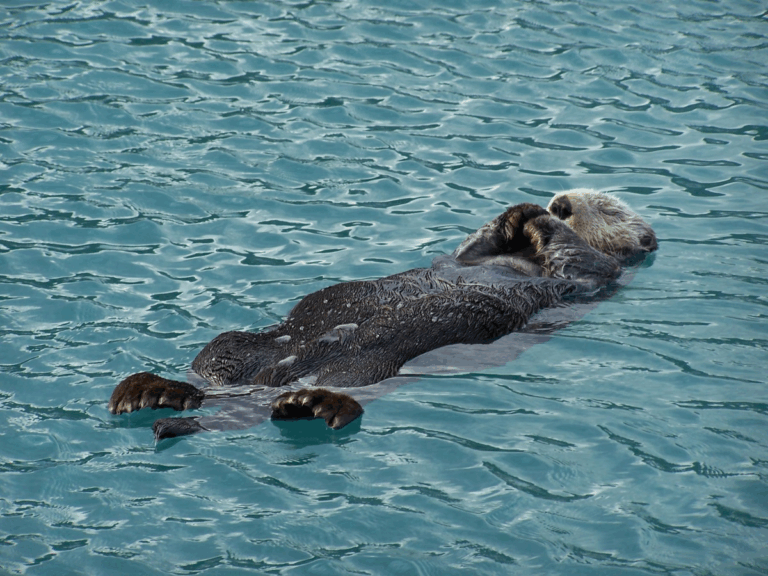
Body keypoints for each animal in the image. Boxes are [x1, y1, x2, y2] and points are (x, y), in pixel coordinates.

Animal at [109, 190, 657, 440]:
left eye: (609, 209)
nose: (561, 200)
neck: (525, 256)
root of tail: (274, 380)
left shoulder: (595, 276)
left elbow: (578, 259)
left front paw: (538, 217)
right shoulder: (468, 257)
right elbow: (470, 249)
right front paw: (514, 215)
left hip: (364, 368)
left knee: (336, 393)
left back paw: (312, 406)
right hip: (235, 348)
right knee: (207, 375)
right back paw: (147, 391)